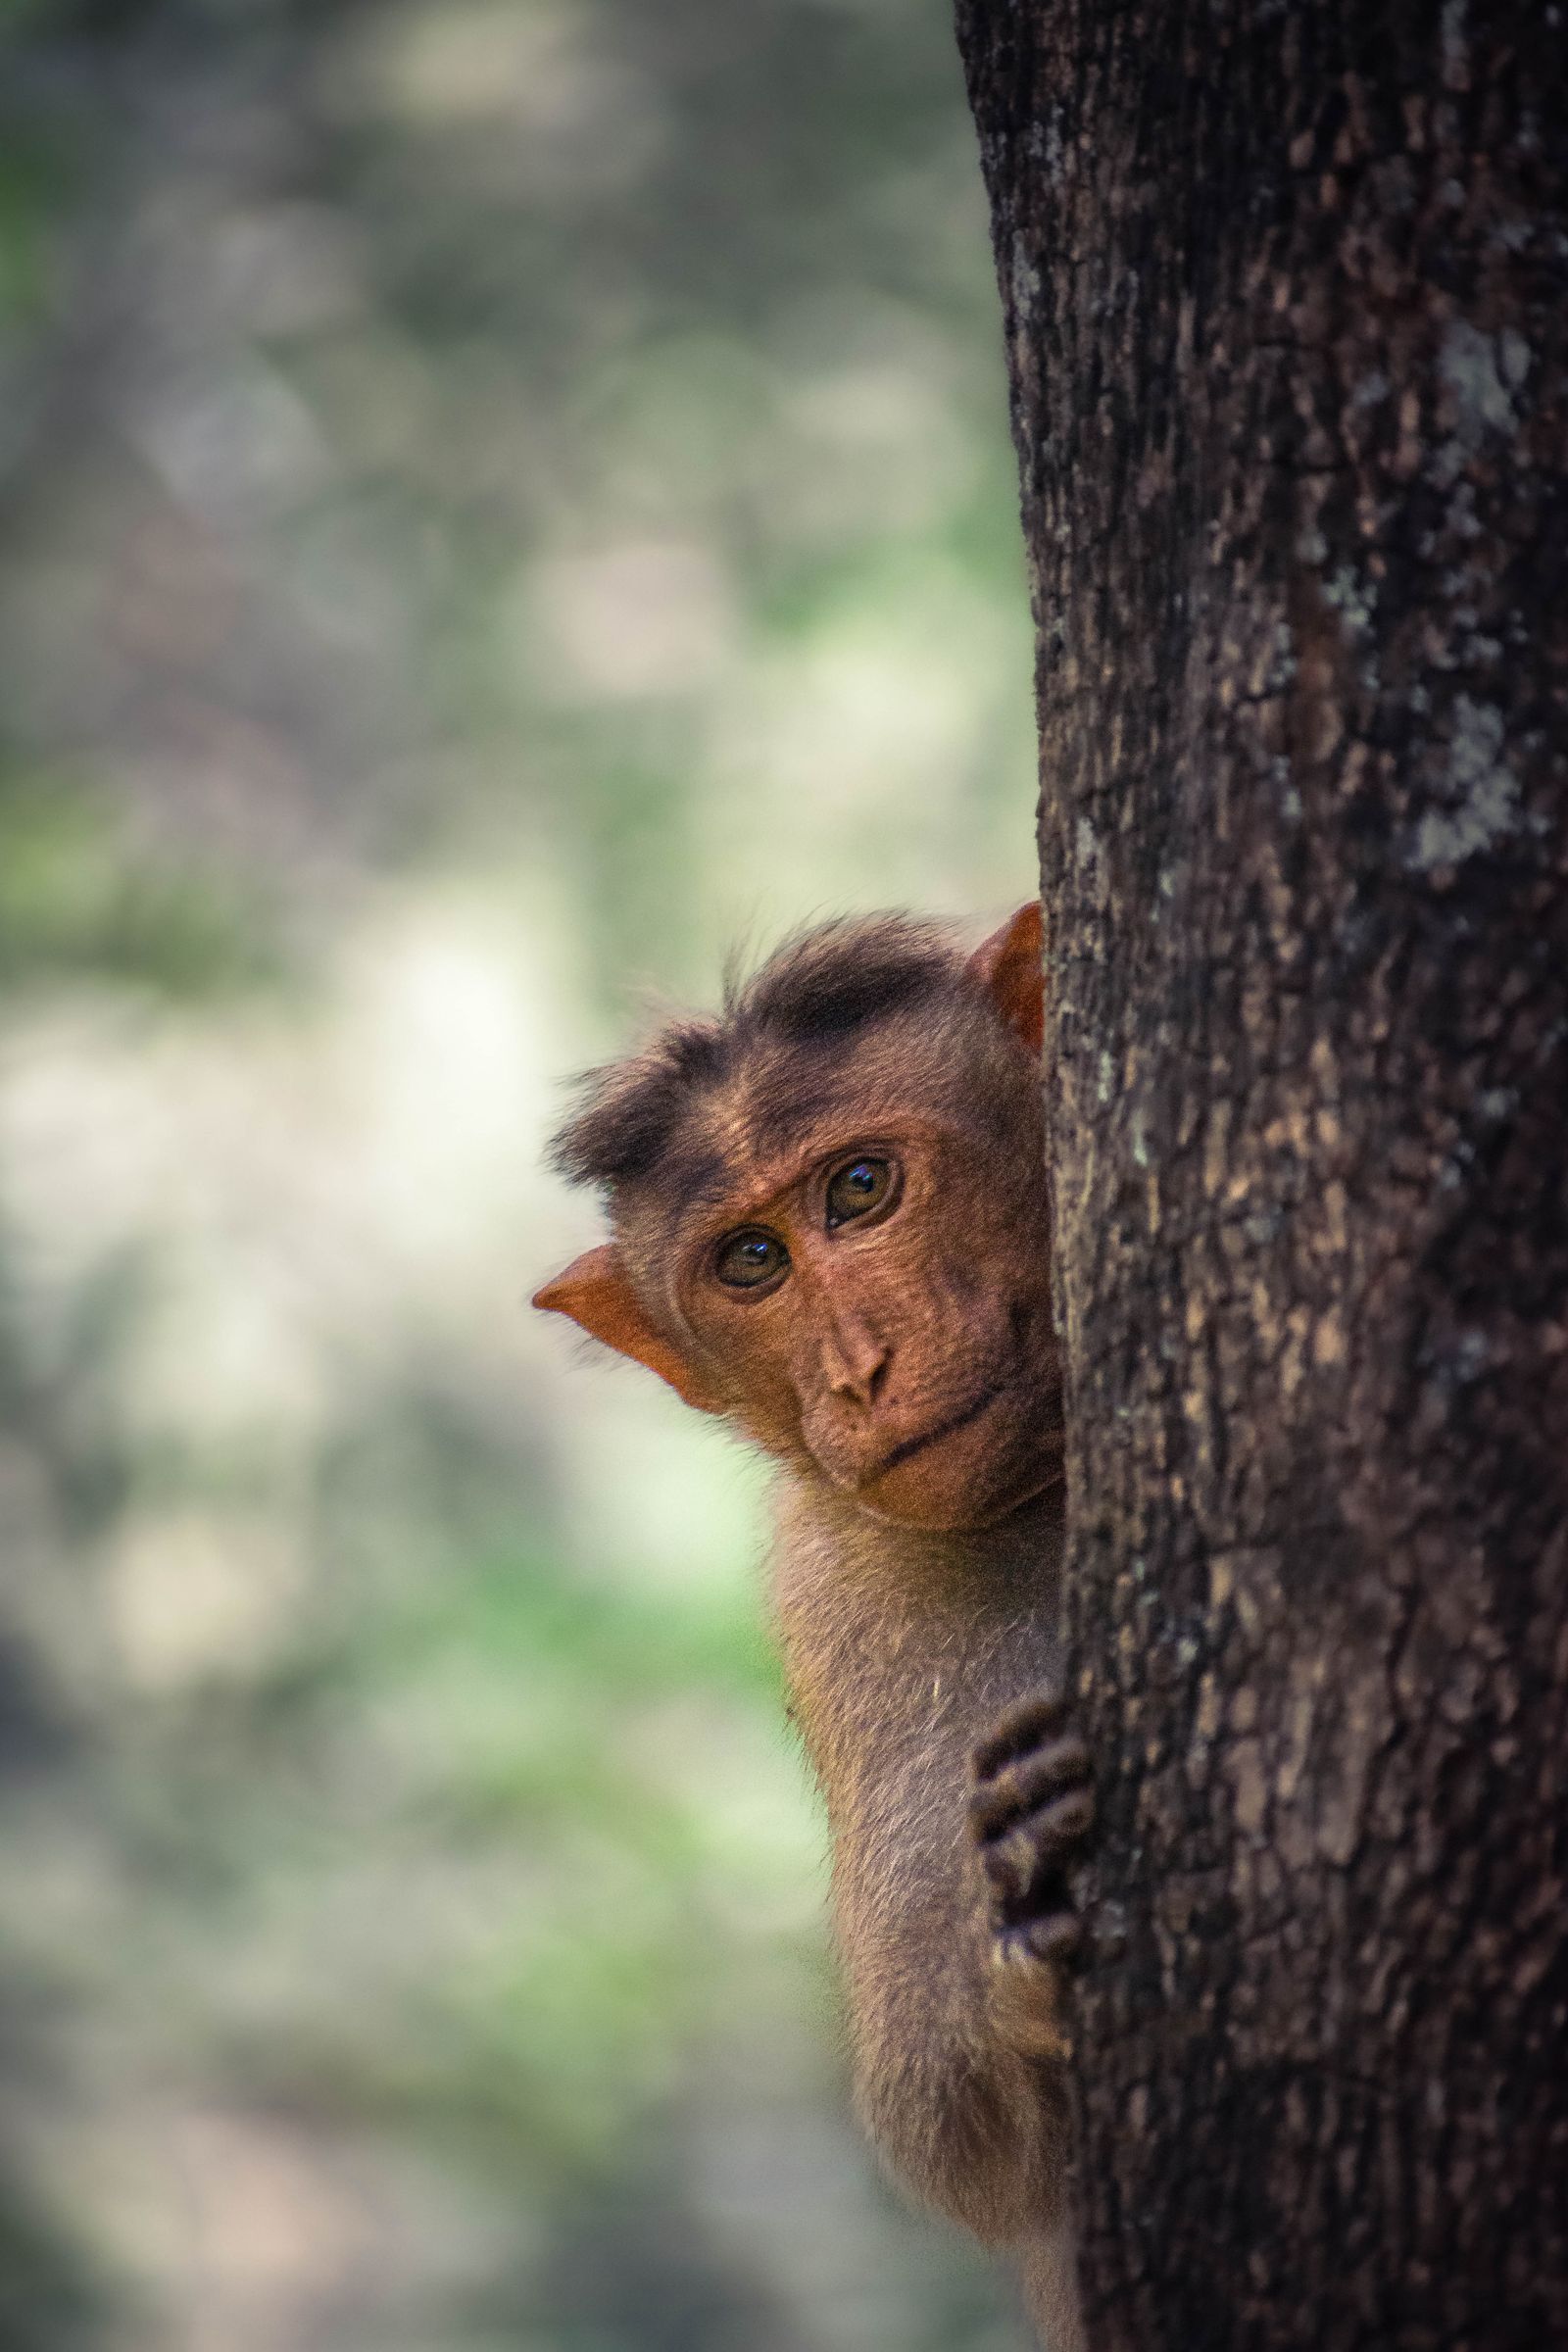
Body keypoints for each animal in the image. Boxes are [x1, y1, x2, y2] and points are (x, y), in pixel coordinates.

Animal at [533, 904, 1091, 2351]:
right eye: (752, 1263)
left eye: (859, 1189)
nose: (856, 1371)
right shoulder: (837, 1600)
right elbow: (966, 2154)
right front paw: (1025, 1922)